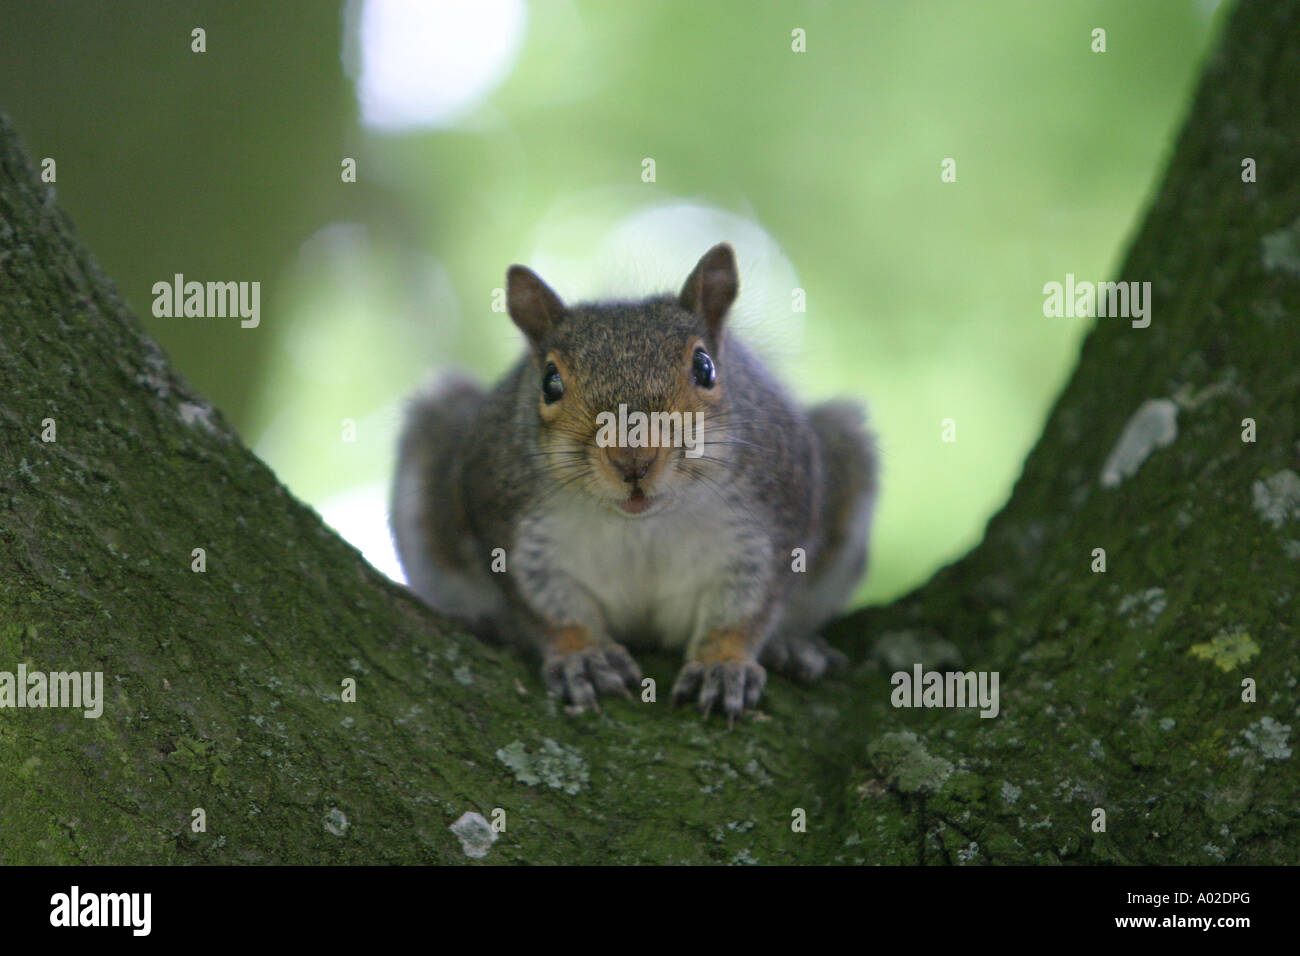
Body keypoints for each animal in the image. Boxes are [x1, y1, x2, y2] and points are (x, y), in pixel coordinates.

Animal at [390, 243, 877, 720]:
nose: (632, 459)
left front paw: (723, 665)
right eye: (549, 382)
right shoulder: (511, 525)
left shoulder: (771, 516)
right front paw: (584, 657)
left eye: (705, 368)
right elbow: (551, 607)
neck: (643, 523)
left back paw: (789, 646)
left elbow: (744, 609)